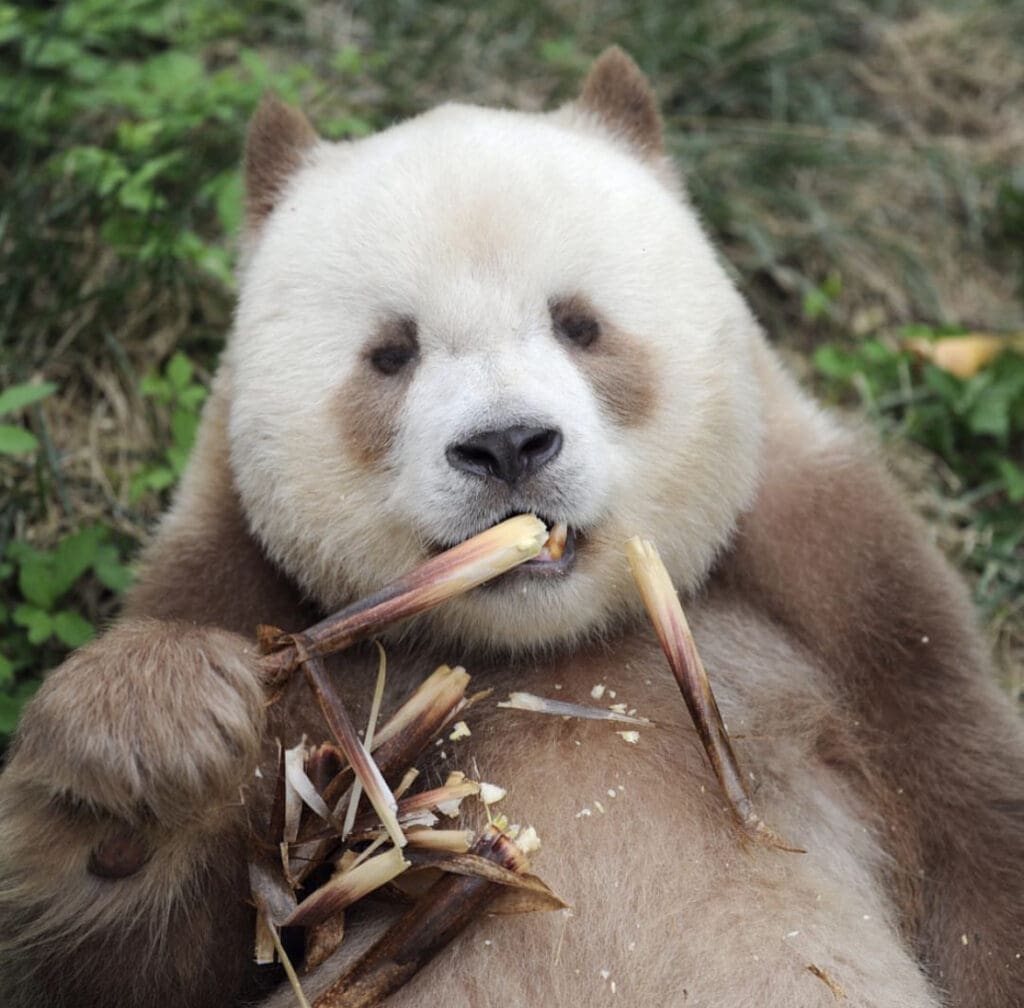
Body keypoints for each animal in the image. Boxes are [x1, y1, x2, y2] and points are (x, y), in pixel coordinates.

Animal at [1, 47, 1021, 1008]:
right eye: (392, 353)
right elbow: (158, 959)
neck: (547, 650)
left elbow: (976, 838)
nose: (507, 446)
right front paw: (149, 740)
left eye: (580, 324)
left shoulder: (850, 598)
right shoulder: (240, 582)